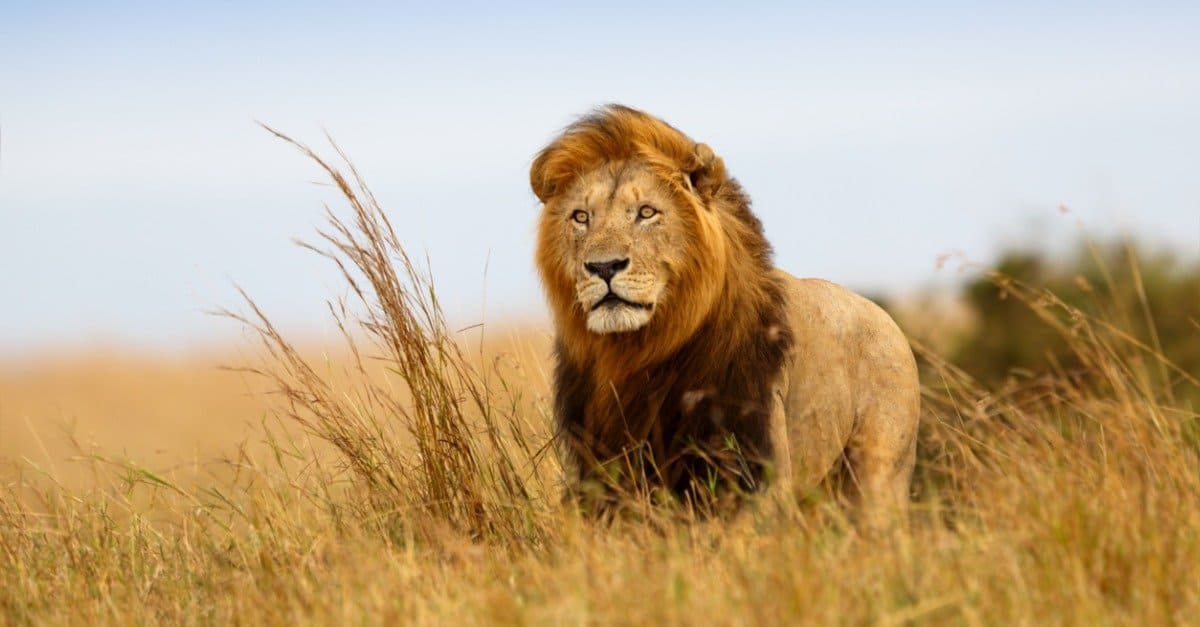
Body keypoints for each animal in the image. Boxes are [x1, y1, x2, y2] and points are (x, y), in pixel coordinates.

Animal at [531, 105, 920, 525]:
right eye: (580, 217)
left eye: (647, 212)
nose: (603, 267)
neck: (638, 352)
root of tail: (887, 319)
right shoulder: (601, 467)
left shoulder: (754, 465)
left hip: (878, 475)